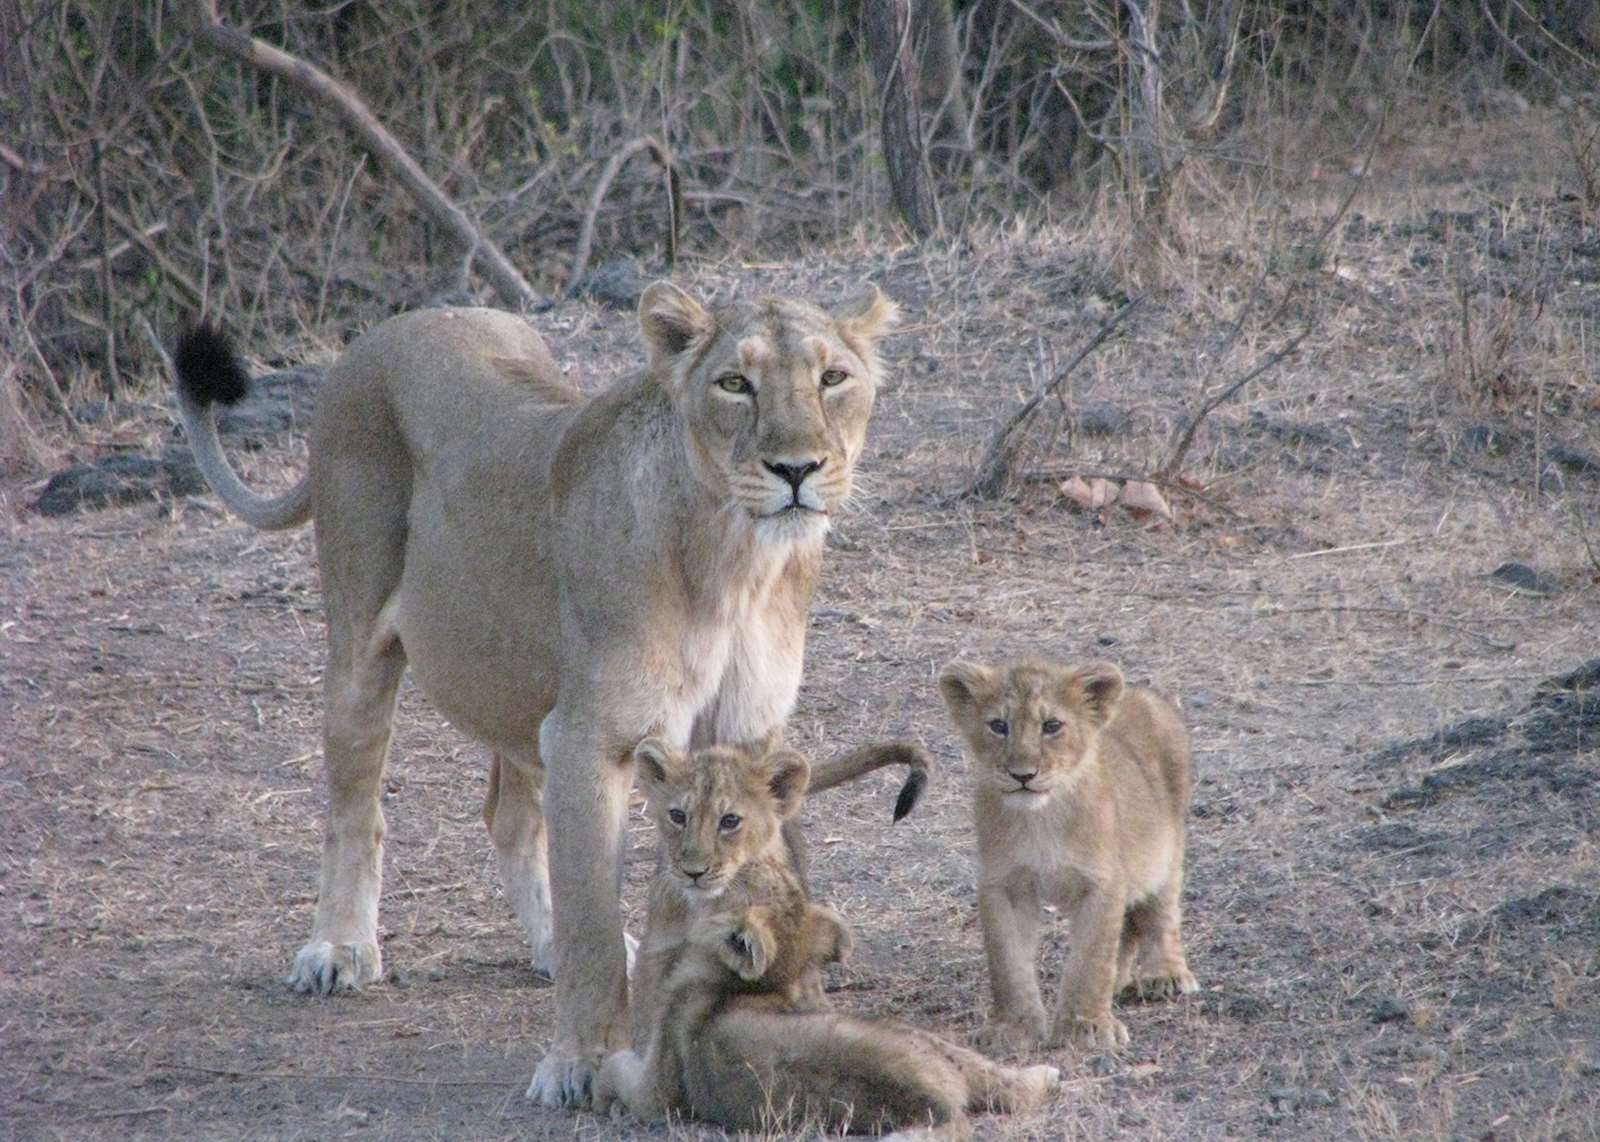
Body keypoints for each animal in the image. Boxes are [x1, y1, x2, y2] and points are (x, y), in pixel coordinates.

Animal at [596, 902, 1062, 1138]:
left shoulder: (656, 1094)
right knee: (1006, 1087)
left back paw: (1047, 1073)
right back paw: (1047, 1074)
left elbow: (617, 1065)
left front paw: (600, 1087)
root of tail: (933, 1102)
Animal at [938, 657, 1198, 1052]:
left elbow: (1091, 959)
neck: (1040, 818)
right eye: (999, 726)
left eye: (1051, 726)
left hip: (1166, 854)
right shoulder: (1002, 884)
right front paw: (1013, 1027)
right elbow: (1008, 962)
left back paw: (1164, 975)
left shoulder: (1102, 883)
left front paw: (1086, 1026)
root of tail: (1141, 694)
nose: (1023, 774)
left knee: (1161, 911)